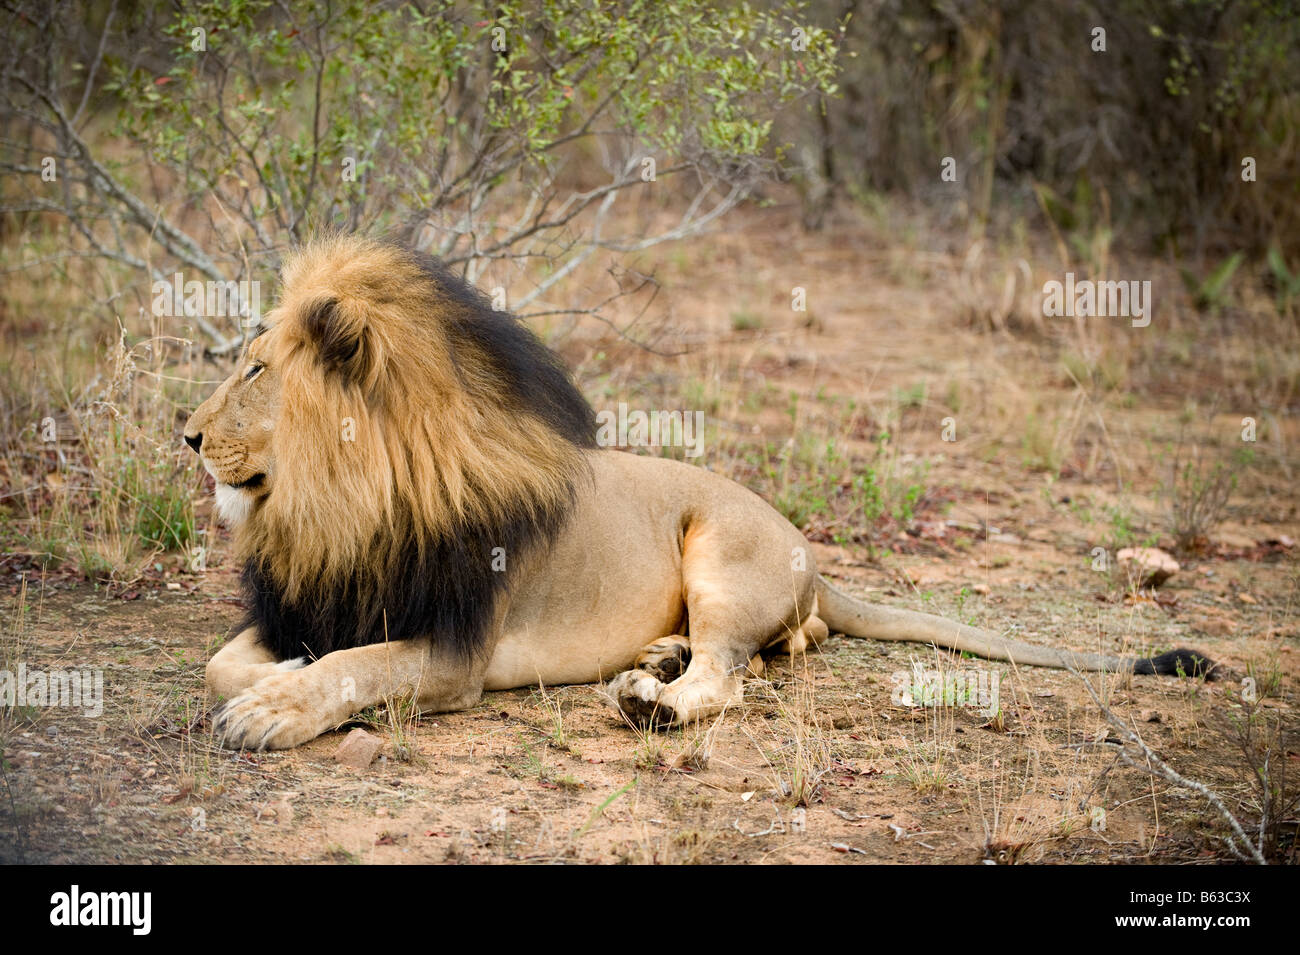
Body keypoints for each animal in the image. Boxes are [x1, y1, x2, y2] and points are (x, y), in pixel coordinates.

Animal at [184, 236, 1213, 750]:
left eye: (255, 370)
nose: (186, 435)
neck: (341, 506)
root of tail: (805, 542)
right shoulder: (304, 605)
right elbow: (233, 663)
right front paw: (271, 681)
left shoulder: (455, 651)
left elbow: (354, 667)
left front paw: (276, 709)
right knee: (781, 645)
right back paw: (663, 652)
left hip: (719, 552)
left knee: (729, 677)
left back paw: (656, 699)